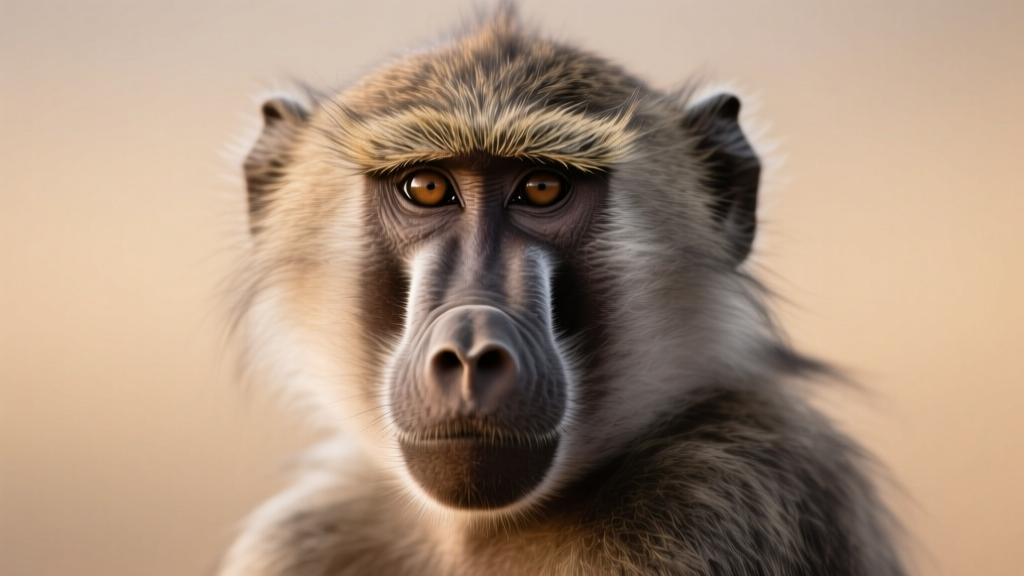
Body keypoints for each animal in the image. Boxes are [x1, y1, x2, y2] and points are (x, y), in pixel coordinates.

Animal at [218, 7, 905, 576]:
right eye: (427, 188)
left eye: (542, 189)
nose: (470, 351)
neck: (476, 534)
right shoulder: (305, 536)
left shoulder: (726, 497)